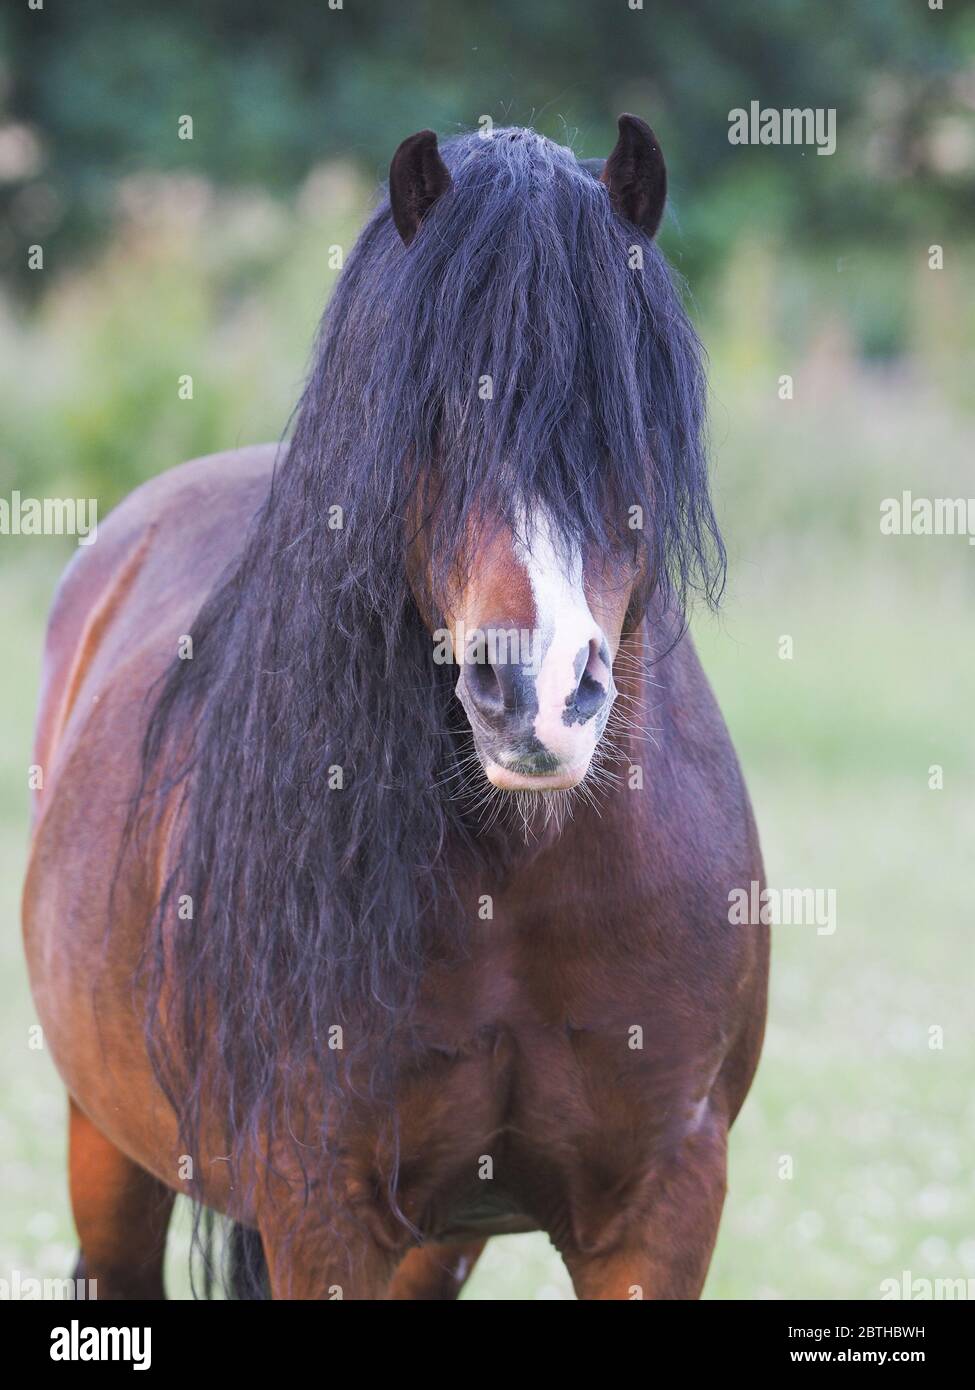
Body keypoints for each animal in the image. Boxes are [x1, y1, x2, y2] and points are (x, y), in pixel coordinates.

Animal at [22, 116, 768, 1300]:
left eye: (622, 412)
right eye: (434, 413)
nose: (535, 697)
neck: (526, 876)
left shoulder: (659, 1208)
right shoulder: (322, 1207)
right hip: (108, 1150)